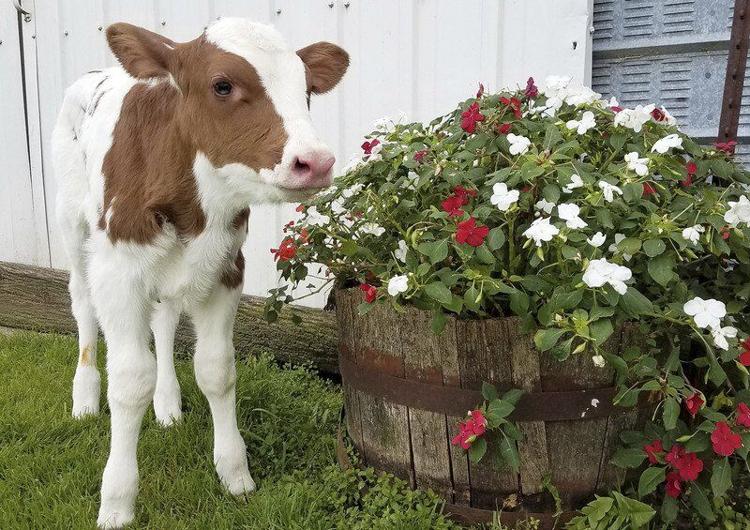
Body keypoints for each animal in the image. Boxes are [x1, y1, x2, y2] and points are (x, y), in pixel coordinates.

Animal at [51, 18, 348, 528]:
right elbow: (129, 381)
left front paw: (235, 474)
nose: (315, 162)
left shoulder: (227, 269)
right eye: (222, 85)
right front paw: (117, 501)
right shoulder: (118, 274)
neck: (190, 206)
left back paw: (167, 403)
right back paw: (85, 398)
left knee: (165, 318)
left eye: (307, 89)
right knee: (82, 304)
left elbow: (216, 370)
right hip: (74, 227)